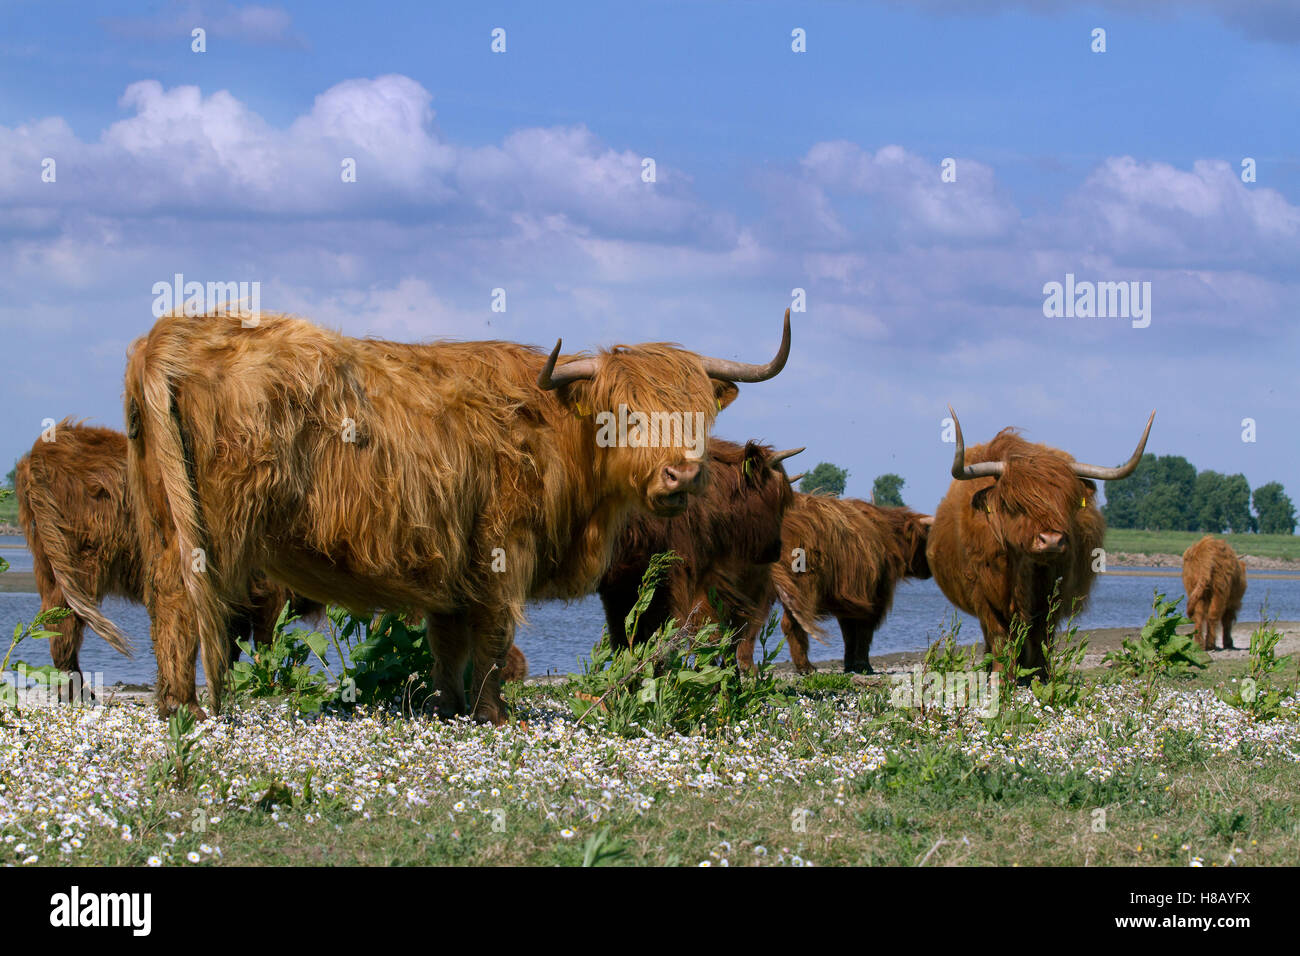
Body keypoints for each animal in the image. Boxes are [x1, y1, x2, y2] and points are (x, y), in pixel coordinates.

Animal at [13, 421, 310, 696]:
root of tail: (41, 451)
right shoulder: (267, 593)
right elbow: (264, 644)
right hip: (81, 565)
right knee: (65, 622)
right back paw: (81, 694)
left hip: (48, 566)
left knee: (53, 619)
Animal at [767, 493, 933, 674]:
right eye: (927, 540)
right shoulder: (873, 598)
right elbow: (864, 633)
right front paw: (863, 665)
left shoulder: (849, 600)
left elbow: (849, 635)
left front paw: (849, 665)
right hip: (802, 588)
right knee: (792, 624)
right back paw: (806, 667)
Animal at [926, 407, 1154, 676]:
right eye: (1014, 504)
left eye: (1066, 502)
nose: (1051, 540)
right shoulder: (982, 592)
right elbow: (1000, 637)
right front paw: (1001, 675)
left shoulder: (1054, 591)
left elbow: (1041, 636)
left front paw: (1039, 674)